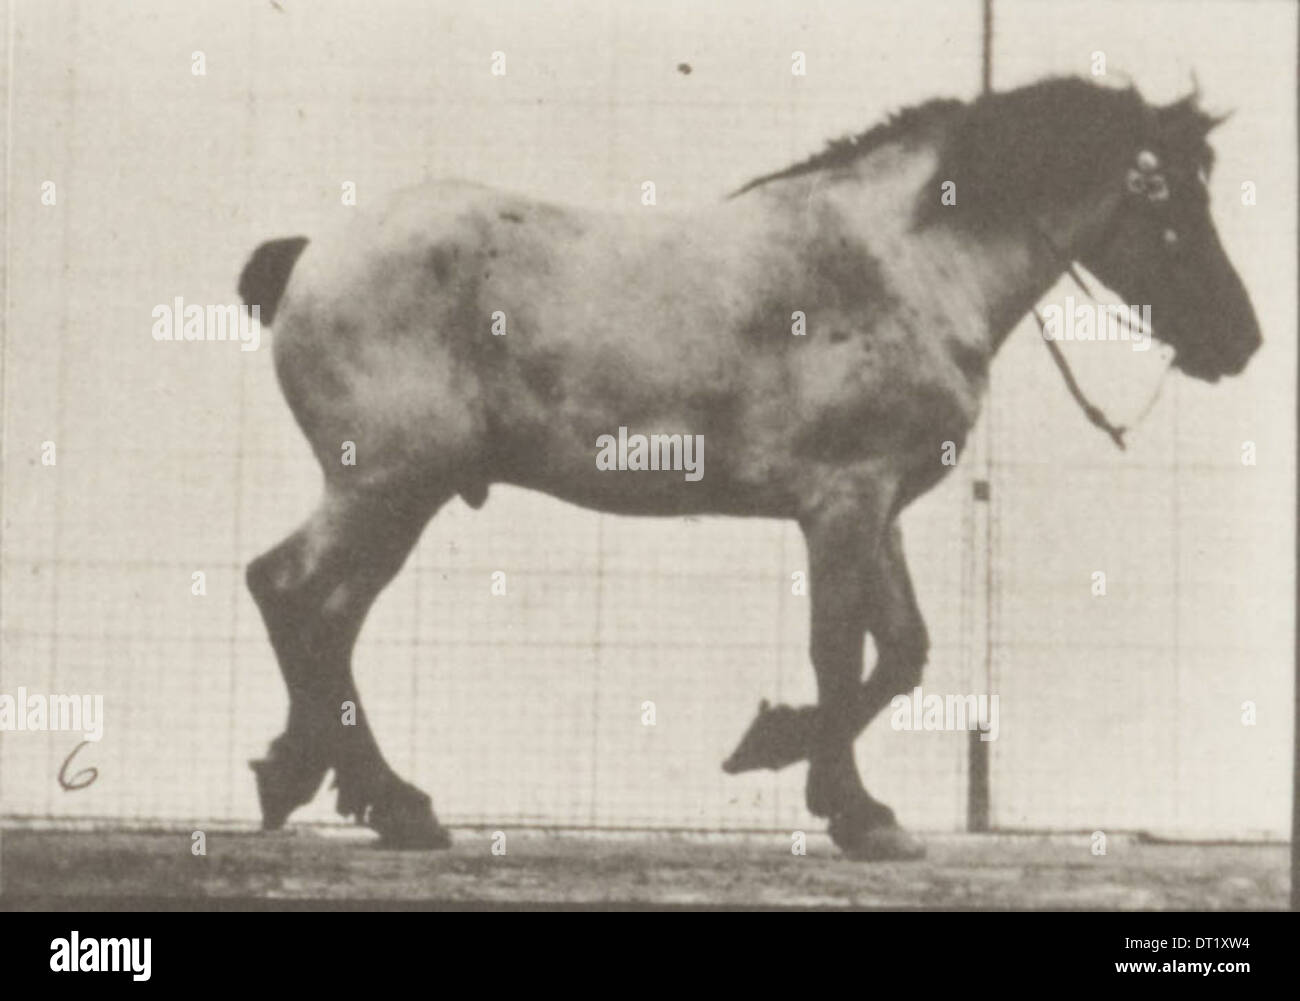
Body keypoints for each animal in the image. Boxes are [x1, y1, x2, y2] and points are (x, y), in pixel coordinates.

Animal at [238, 76, 1260, 860]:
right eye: (1166, 198)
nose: (1241, 340)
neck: (904, 265)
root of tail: (310, 256)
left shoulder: (879, 507)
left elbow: (902, 652)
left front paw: (791, 753)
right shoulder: (843, 503)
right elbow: (840, 654)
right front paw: (851, 807)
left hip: (396, 495)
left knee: (324, 615)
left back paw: (336, 783)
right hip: (386, 487)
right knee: (293, 592)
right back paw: (371, 794)